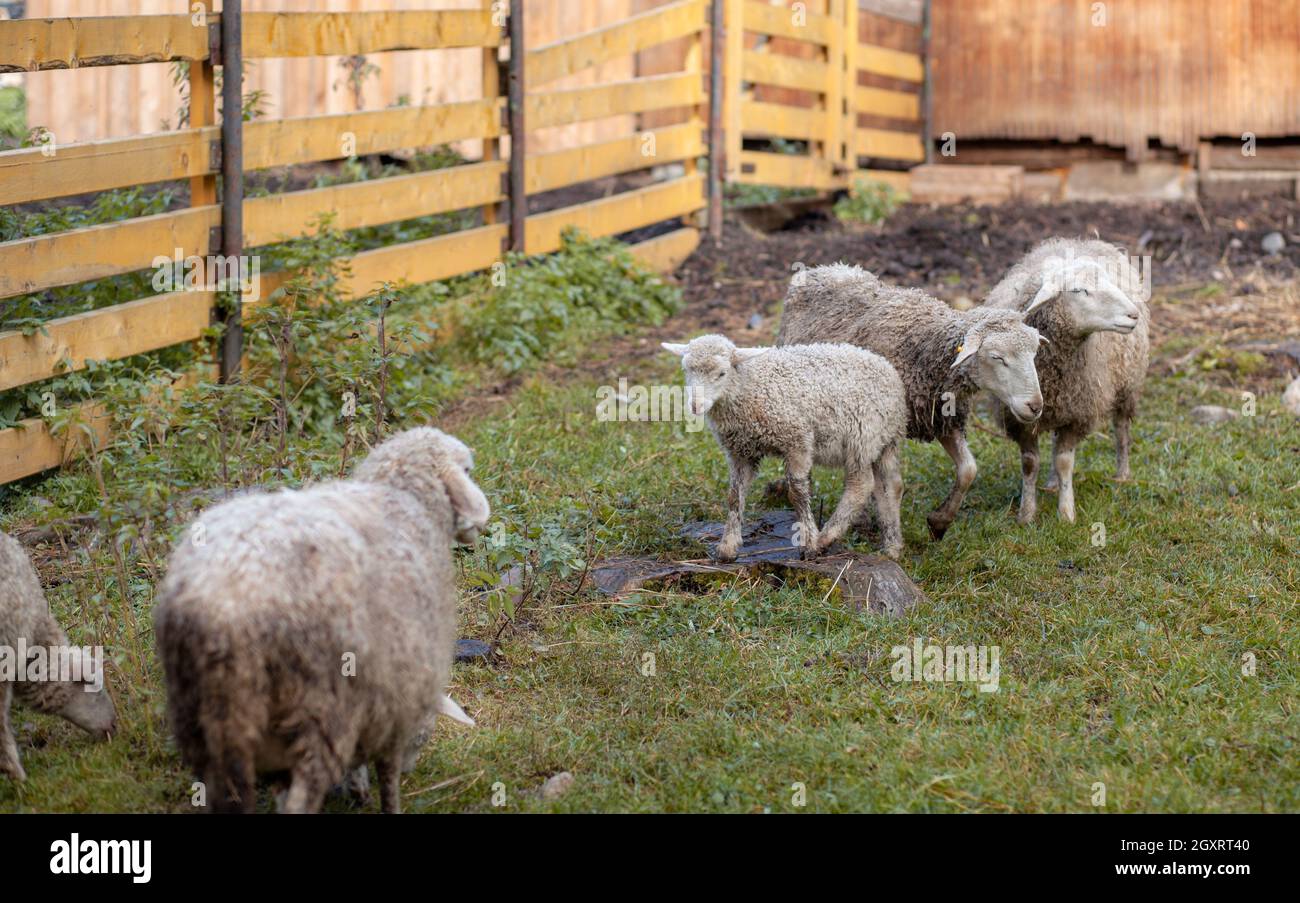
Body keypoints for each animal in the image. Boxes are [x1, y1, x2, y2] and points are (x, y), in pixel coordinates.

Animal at [154, 426, 489, 814]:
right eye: (467, 470)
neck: (405, 501)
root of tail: (222, 602)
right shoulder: (395, 692)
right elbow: (387, 776)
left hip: (202, 720)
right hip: (322, 707)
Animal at [662, 334, 908, 560]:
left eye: (722, 373)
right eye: (686, 370)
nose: (695, 405)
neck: (748, 386)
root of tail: (889, 372)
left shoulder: (797, 441)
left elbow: (797, 493)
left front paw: (809, 541)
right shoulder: (740, 452)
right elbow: (734, 496)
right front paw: (728, 547)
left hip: (862, 435)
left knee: (861, 485)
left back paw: (827, 536)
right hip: (885, 441)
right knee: (890, 485)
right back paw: (892, 546)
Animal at [776, 264, 1048, 539]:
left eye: (1035, 353)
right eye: (997, 357)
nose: (1035, 406)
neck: (925, 350)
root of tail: (825, 268)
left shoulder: (943, 418)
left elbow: (968, 470)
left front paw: (939, 522)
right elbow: (892, 484)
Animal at [983, 238, 1150, 523]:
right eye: (1079, 290)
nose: (1133, 314)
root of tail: (1080, 241)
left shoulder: (1076, 412)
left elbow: (1064, 462)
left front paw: (1066, 514)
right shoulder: (1020, 416)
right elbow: (1030, 464)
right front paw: (1026, 514)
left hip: (1127, 385)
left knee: (1121, 428)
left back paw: (1122, 475)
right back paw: (1050, 483)